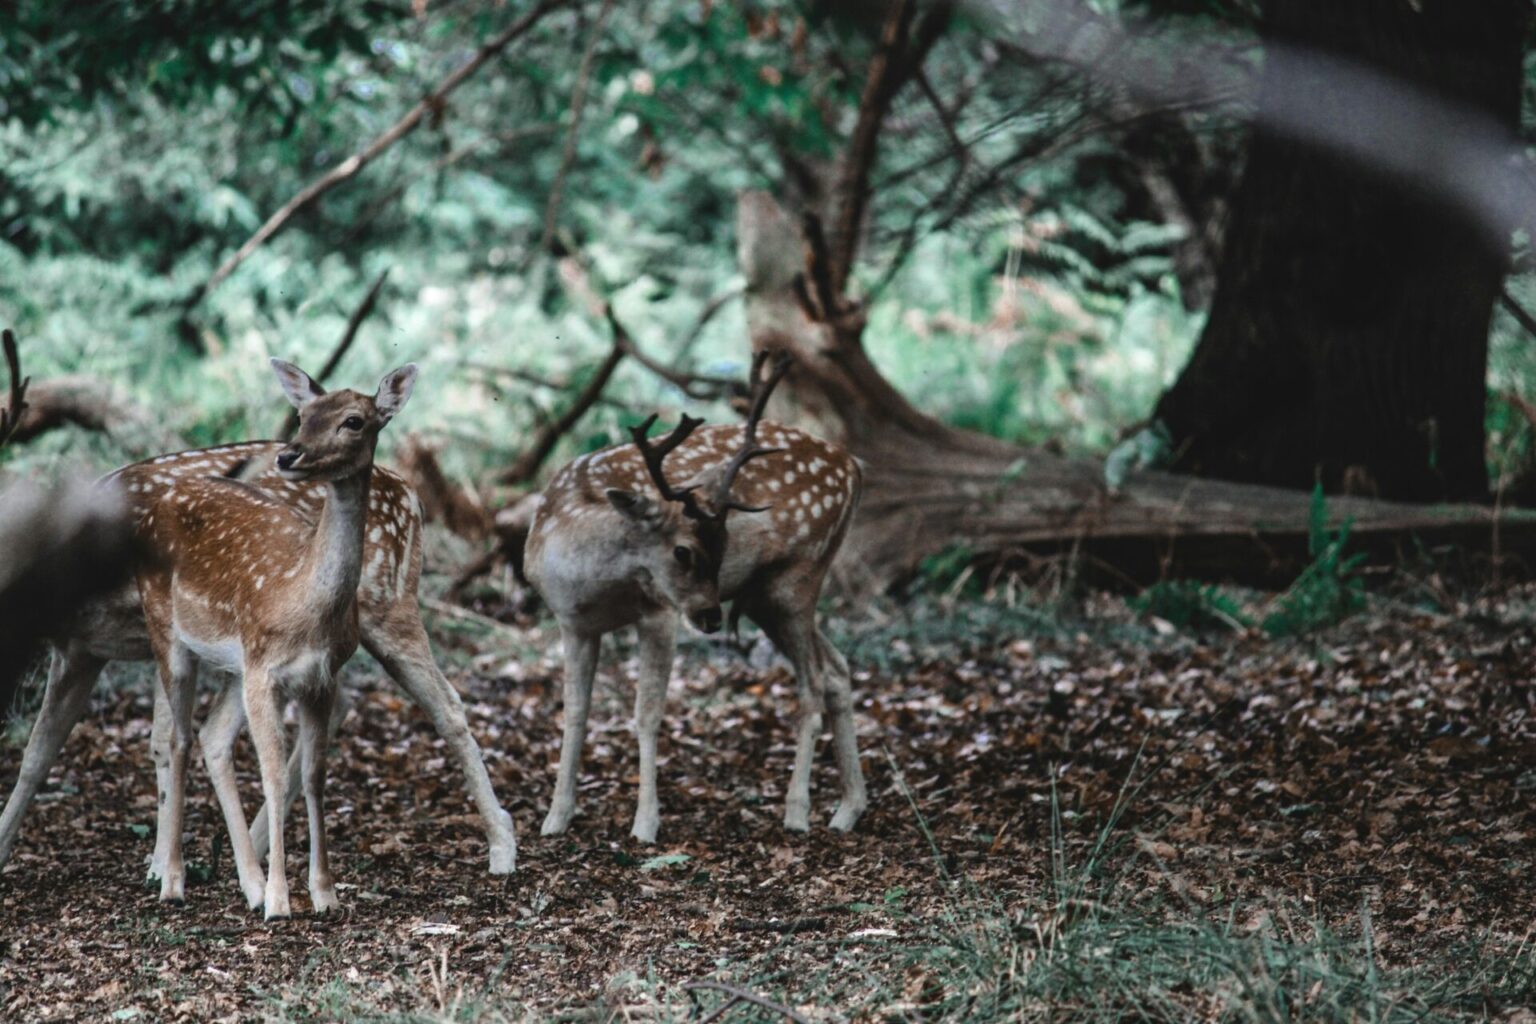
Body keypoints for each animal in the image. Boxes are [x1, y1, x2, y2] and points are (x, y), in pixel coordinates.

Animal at [0, 434, 517, 895]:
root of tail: (411, 495)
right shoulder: (85, 650)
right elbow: (43, 752)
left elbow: (146, 743)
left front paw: (163, 867)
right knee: (335, 705)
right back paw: (251, 854)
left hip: (385, 602)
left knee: (446, 703)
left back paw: (502, 846)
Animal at [524, 351, 867, 843]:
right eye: (683, 550)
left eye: (722, 549)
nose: (711, 617)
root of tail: (854, 466)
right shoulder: (573, 623)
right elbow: (574, 712)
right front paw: (556, 818)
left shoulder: (659, 613)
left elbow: (646, 713)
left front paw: (645, 824)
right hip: (764, 595)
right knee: (837, 669)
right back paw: (848, 810)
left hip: (799, 576)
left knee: (814, 682)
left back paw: (798, 812)